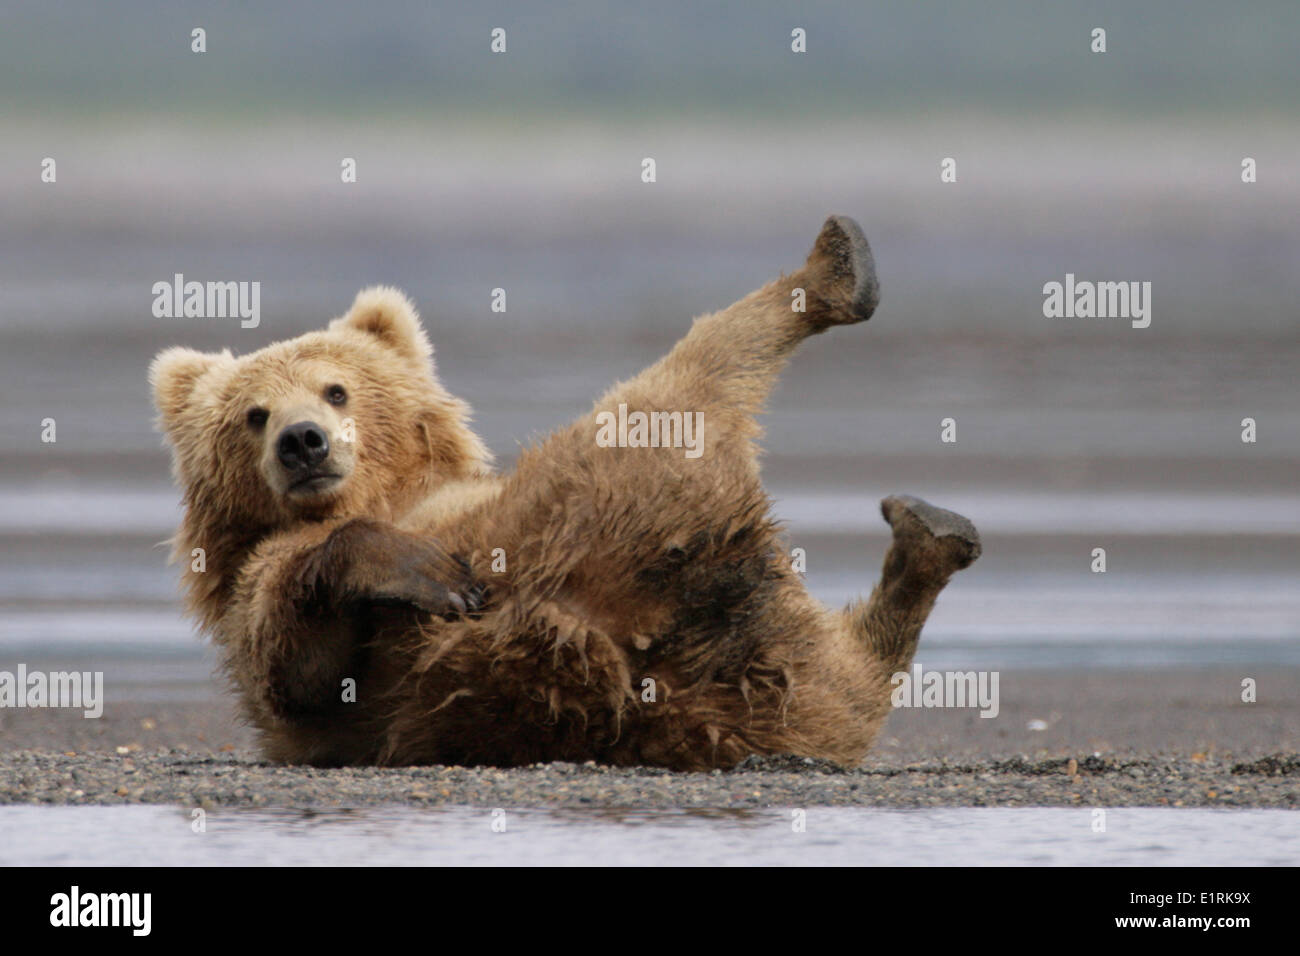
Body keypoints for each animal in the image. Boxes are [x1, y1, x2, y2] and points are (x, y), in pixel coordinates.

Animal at [150, 215, 981, 770]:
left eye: (336, 389)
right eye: (254, 413)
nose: (303, 441)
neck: (378, 496)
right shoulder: (258, 590)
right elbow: (298, 662)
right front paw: (431, 575)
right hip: (620, 502)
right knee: (698, 375)